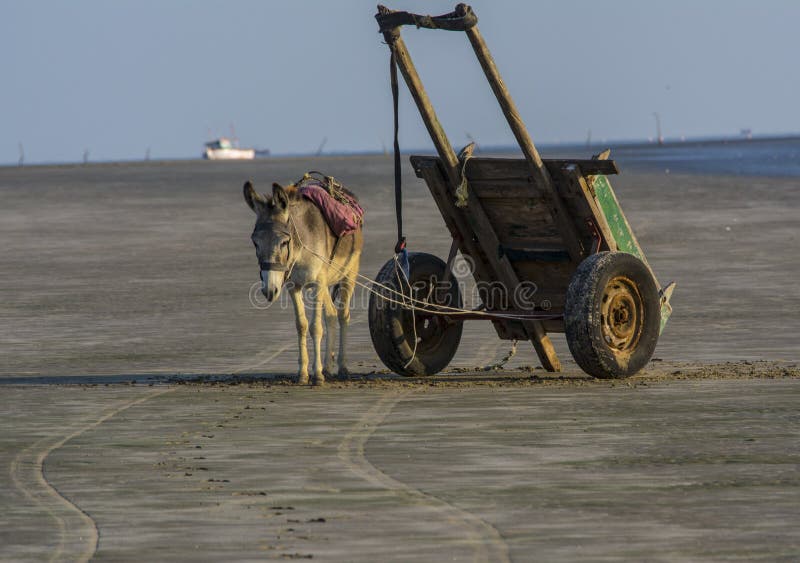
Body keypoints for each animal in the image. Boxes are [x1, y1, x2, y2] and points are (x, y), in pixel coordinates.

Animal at [243, 180, 363, 385]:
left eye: (284, 242)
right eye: (255, 242)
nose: (269, 291)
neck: (300, 248)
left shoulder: (317, 284)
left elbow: (316, 327)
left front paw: (317, 375)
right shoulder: (293, 286)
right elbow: (301, 325)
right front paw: (303, 374)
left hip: (349, 273)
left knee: (342, 315)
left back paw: (342, 367)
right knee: (331, 314)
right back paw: (328, 368)